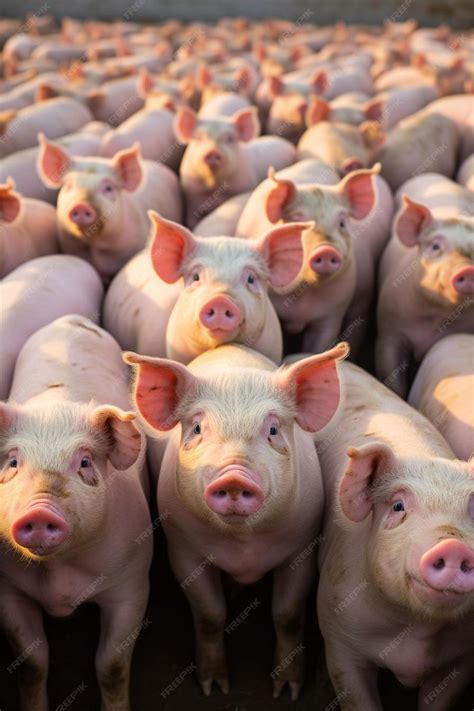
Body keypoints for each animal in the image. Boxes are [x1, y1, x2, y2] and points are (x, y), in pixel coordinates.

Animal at [0, 315, 152, 711]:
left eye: (84, 462)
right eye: (13, 462)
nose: (40, 511)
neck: (59, 580)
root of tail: (71, 320)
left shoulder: (131, 583)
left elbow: (111, 666)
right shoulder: (9, 590)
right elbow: (32, 665)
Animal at [125, 341, 348, 698]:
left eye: (273, 429)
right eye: (198, 428)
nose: (233, 476)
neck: (244, 546)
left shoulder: (302, 548)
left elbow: (288, 615)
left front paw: (287, 691)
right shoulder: (183, 551)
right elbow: (209, 615)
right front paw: (214, 688)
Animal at [376, 172, 474, 396]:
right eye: (435, 246)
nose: (467, 270)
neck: (436, 316)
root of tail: (430, 174)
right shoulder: (388, 330)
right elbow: (391, 375)